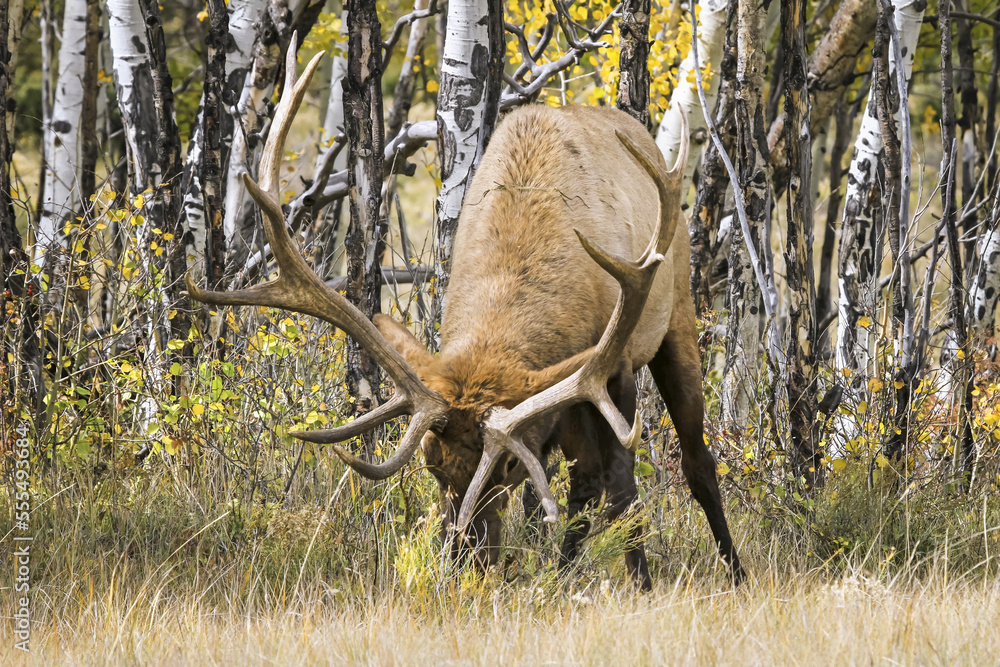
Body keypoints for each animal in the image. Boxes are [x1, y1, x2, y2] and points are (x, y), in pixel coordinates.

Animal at [187, 50, 745, 590]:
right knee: (584, 479)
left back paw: (733, 570)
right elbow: (589, 481)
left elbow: (624, 484)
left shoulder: (617, 364)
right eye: (431, 460)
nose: (464, 561)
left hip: (677, 316)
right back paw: (561, 575)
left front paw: (643, 583)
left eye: (507, 464)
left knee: (694, 460)